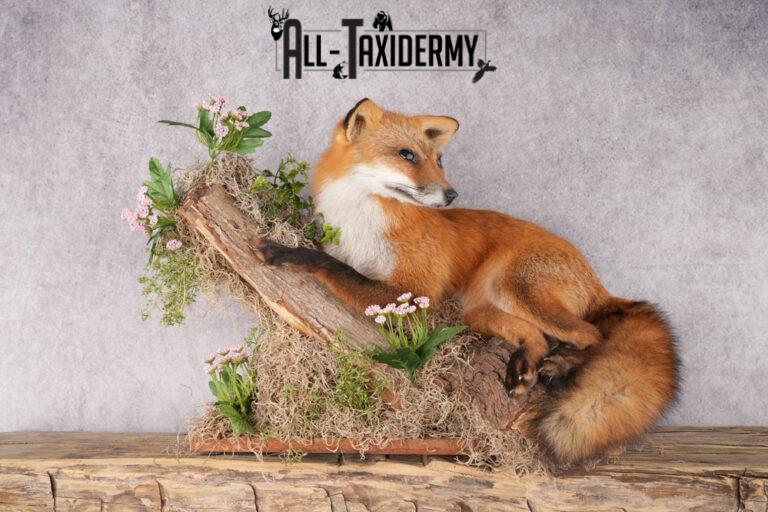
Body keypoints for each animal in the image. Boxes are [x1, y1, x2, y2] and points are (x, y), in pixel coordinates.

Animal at [255, 98, 679, 464]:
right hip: (480, 311)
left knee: (593, 334)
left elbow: (333, 267)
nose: (451, 194)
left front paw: (291, 254)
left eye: (438, 159)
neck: (362, 225)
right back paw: (526, 366)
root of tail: (599, 284)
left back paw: (562, 364)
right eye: (407, 155)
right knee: (538, 336)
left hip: (519, 289)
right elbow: (339, 262)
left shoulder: (412, 293)